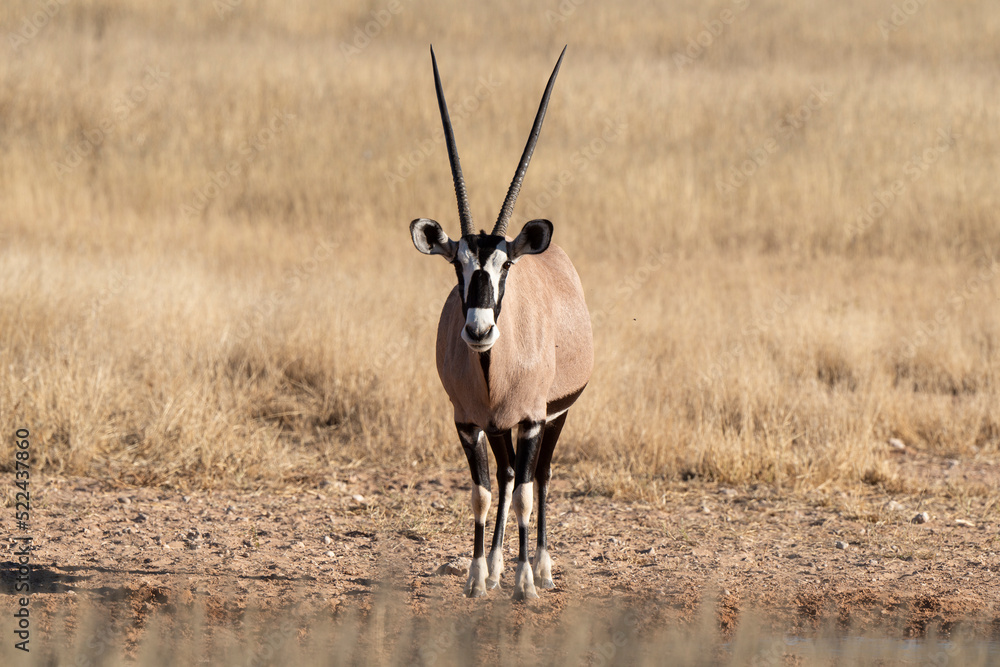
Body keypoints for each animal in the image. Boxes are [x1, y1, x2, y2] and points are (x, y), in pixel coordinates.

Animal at [409, 46, 593, 600]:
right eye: (457, 263)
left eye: (505, 264)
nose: (478, 332)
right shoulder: (469, 421)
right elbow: (484, 493)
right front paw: (476, 577)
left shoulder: (533, 418)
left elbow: (527, 496)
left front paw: (525, 583)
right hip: (498, 426)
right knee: (510, 474)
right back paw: (494, 566)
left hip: (556, 415)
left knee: (540, 477)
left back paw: (542, 567)